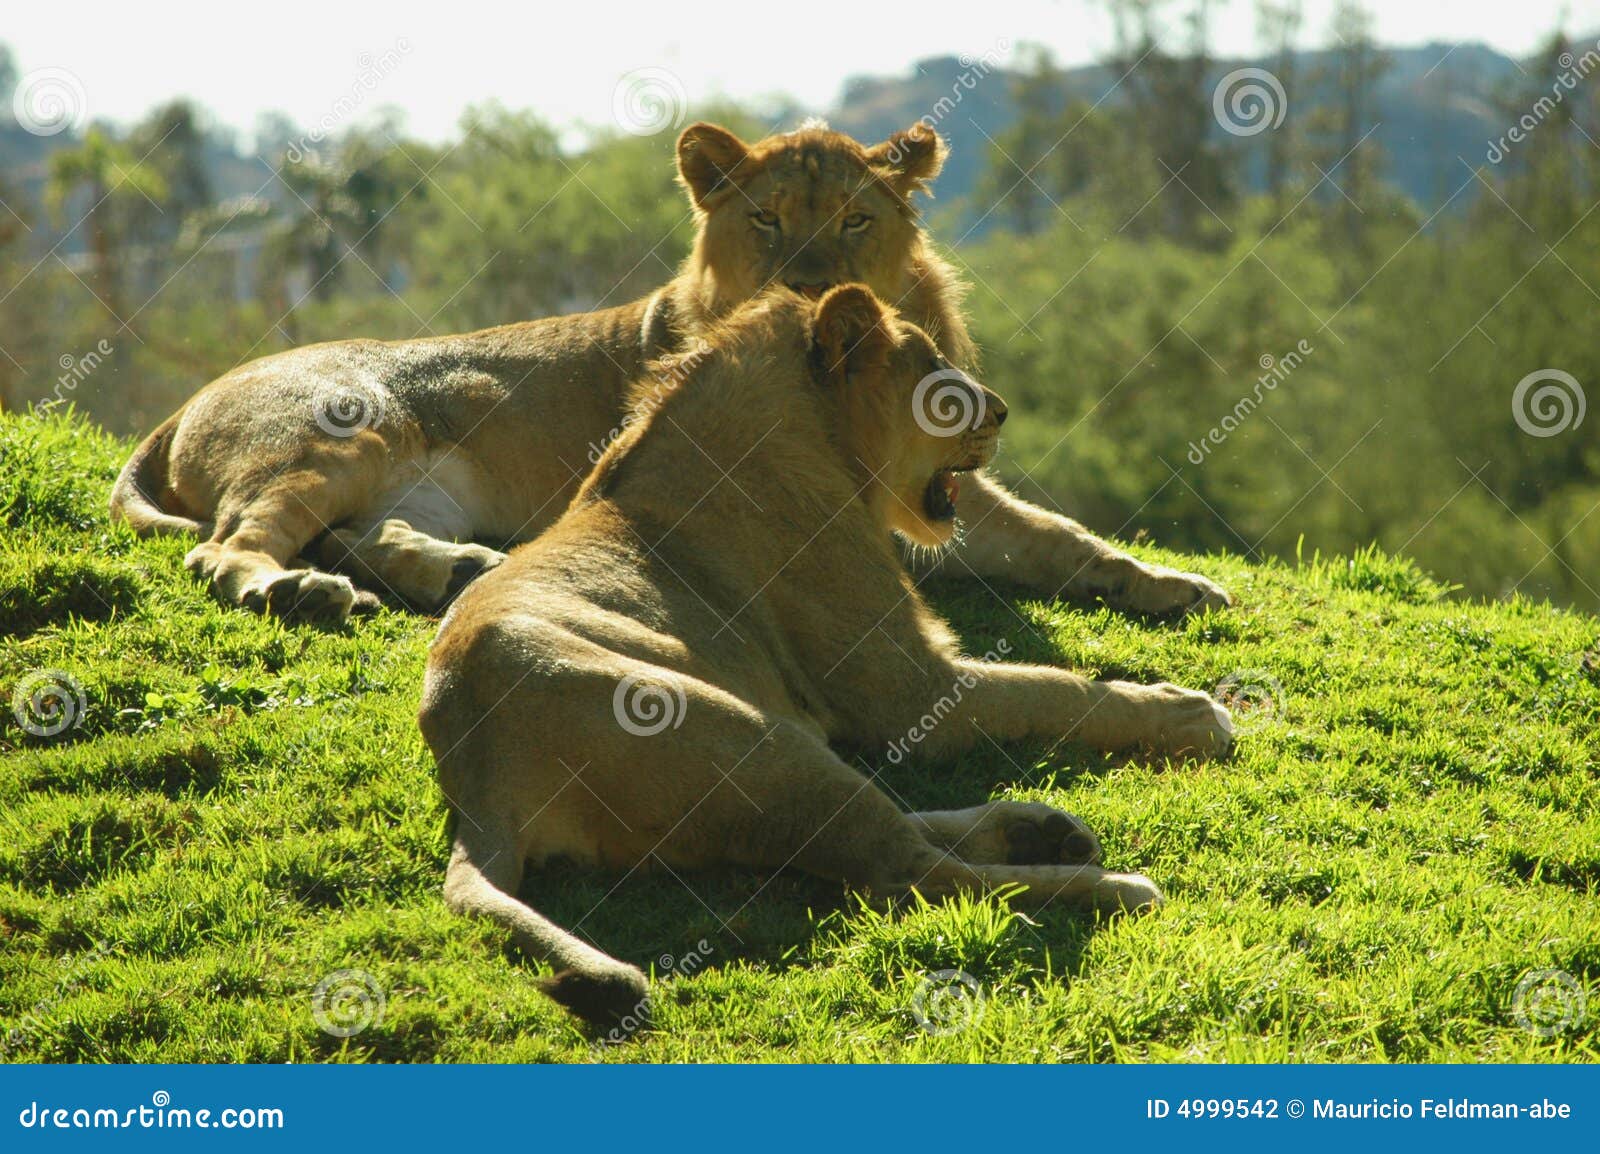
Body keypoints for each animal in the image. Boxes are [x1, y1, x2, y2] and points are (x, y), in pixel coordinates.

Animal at [110, 120, 1231, 623]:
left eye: (854, 221)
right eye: (766, 219)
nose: (813, 286)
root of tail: (183, 403)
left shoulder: (943, 492)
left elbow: (1060, 533)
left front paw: (1170, 582)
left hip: (412, 484)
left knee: (365, 533)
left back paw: (458, 569)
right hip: (343, 433)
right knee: (226, 548)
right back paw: (299, 591)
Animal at [417, 285, 1233, 1023]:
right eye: (931, 366)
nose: (1001, 410)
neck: (818, 441)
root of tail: (478, 779)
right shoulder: (913, 690)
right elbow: (1059, 688)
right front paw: (1192, 714)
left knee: (902, 832)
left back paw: (1040, 830)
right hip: (741, 735)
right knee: (909, 873)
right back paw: (1111, 886)